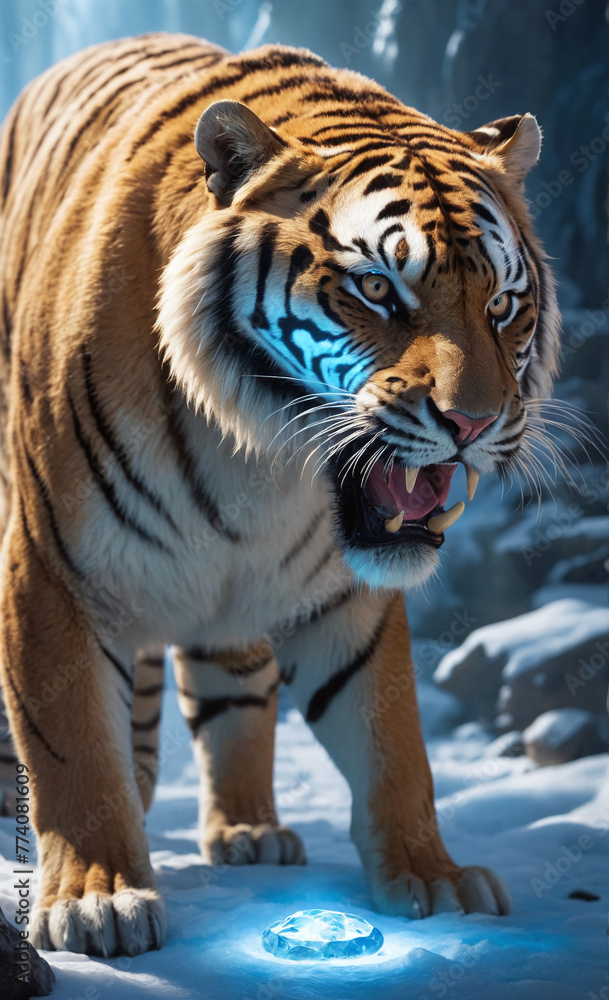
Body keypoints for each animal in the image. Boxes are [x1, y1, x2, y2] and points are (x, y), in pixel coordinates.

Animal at [0, 31, 560, 957]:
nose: (474, 423)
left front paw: (432, 876)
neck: (263, 465)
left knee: (234, 696)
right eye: (378, 289)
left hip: (230, 608)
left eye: (505, 304)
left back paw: (249, 830)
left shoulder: (345, 593)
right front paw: (96, 899)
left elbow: (393, 742)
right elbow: (73, 744)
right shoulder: (53, 571)